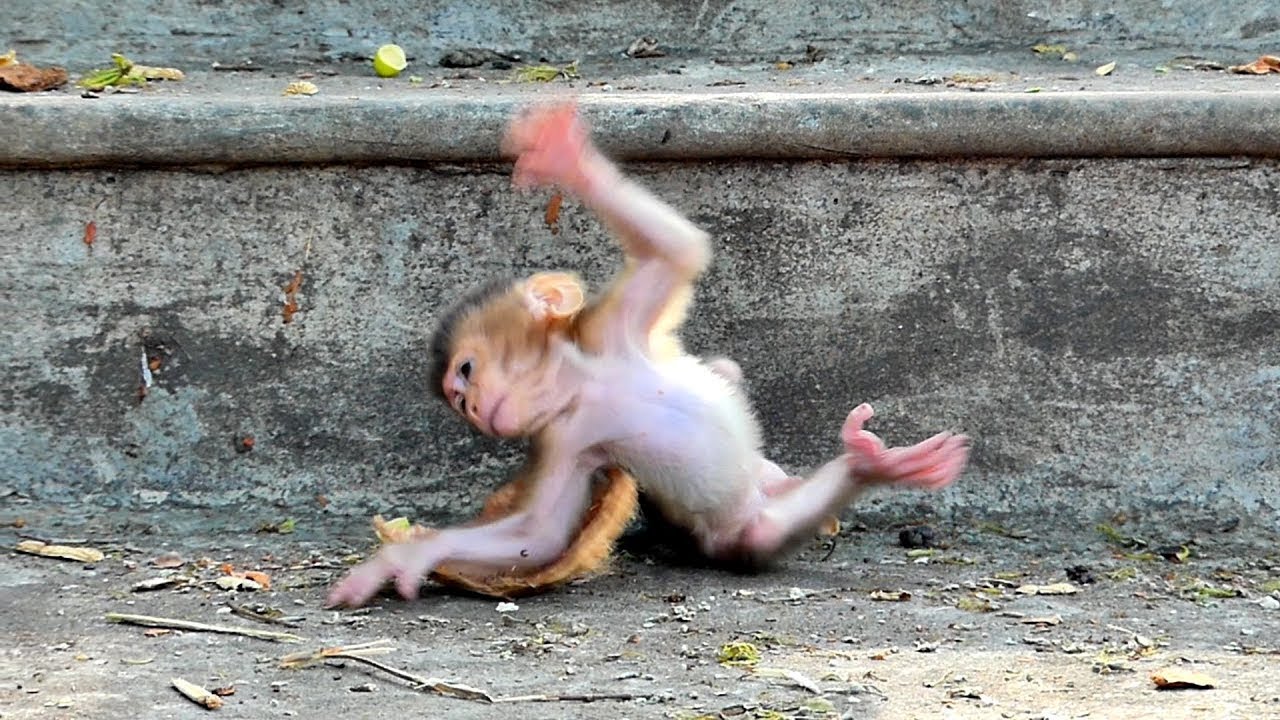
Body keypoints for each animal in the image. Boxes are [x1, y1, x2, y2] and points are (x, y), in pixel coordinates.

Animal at [327, 103, 969, 607]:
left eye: (467, 371)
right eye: (458, 403)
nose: (478, 411)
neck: (585, 386)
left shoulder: (616, 325)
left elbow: (678, 250)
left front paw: (567, 158)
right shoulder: (565, 441)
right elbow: (537, 533)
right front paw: (407, 556)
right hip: (737, 533)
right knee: (762, 534)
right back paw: (868, 465)